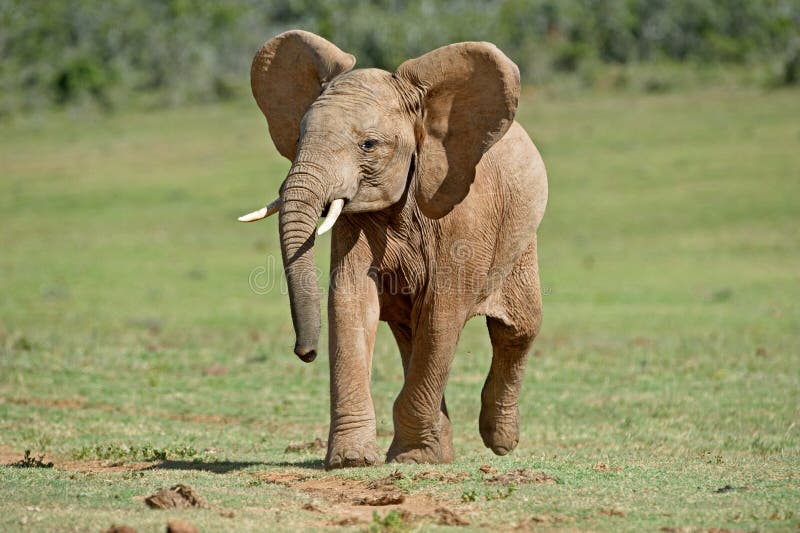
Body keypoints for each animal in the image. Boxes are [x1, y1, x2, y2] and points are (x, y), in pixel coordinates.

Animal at [238, 30, 548, 469]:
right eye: (299, 137)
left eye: (369, 144)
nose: (305, 352)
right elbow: (350, 299)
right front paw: (353, 459)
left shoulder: (463, 212)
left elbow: (442, 313)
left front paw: (413, 458)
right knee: (410, 334)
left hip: (521, 240)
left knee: (518, 328)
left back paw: (499, 441)